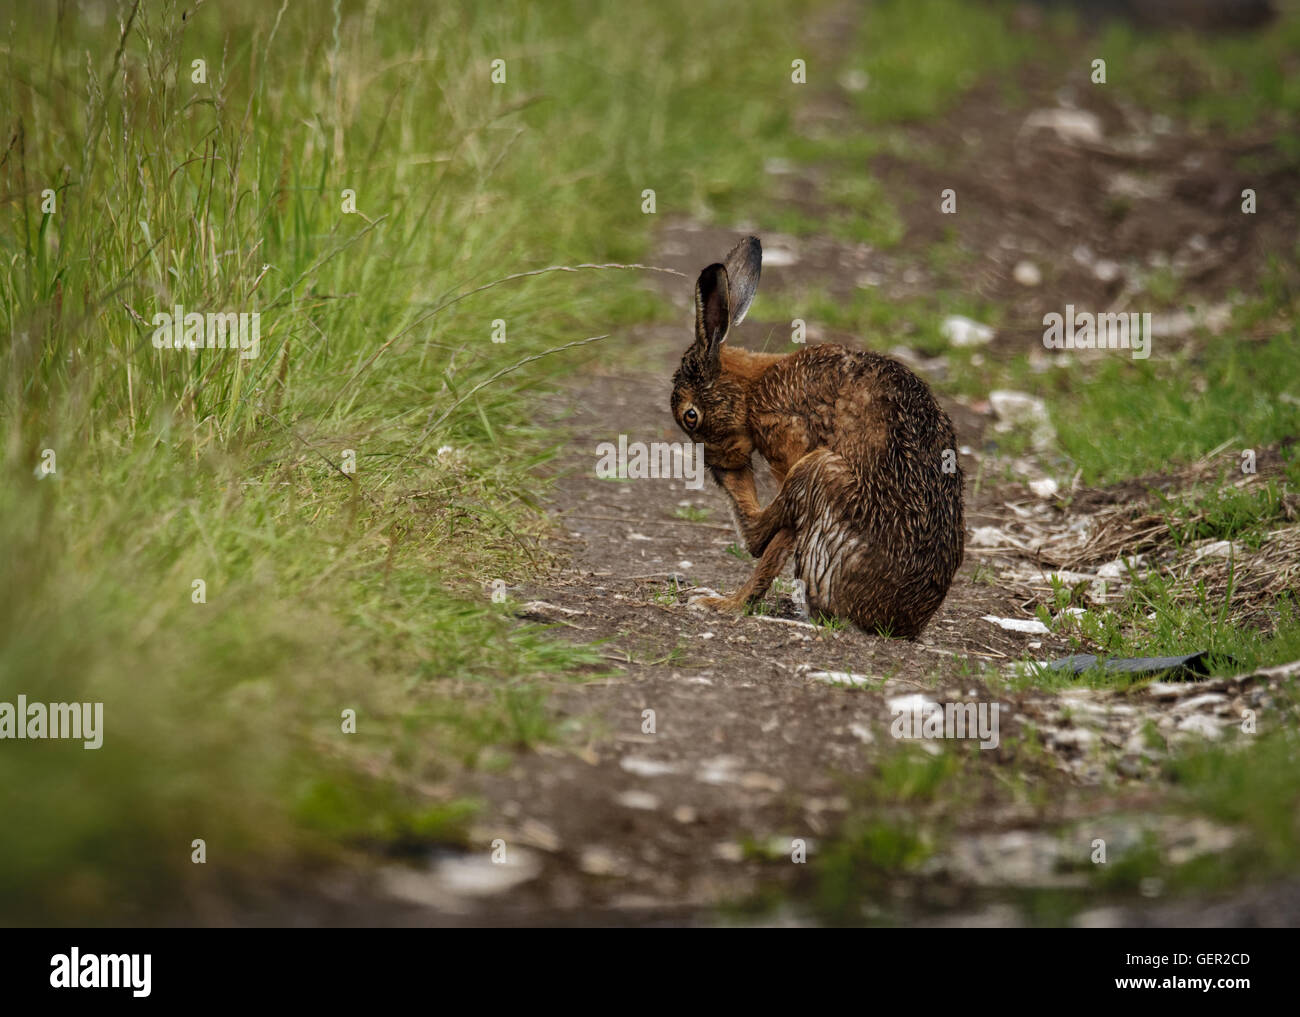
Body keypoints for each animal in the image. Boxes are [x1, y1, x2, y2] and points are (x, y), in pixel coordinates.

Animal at [670, 236, 964, 639]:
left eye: (691, 416)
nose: (717, 461)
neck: (752, 390)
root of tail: (898, 622)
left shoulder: (790, 446)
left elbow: (771, 548)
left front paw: (731, 604)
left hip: (820, 471)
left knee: (759, 536)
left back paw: (719, 598)